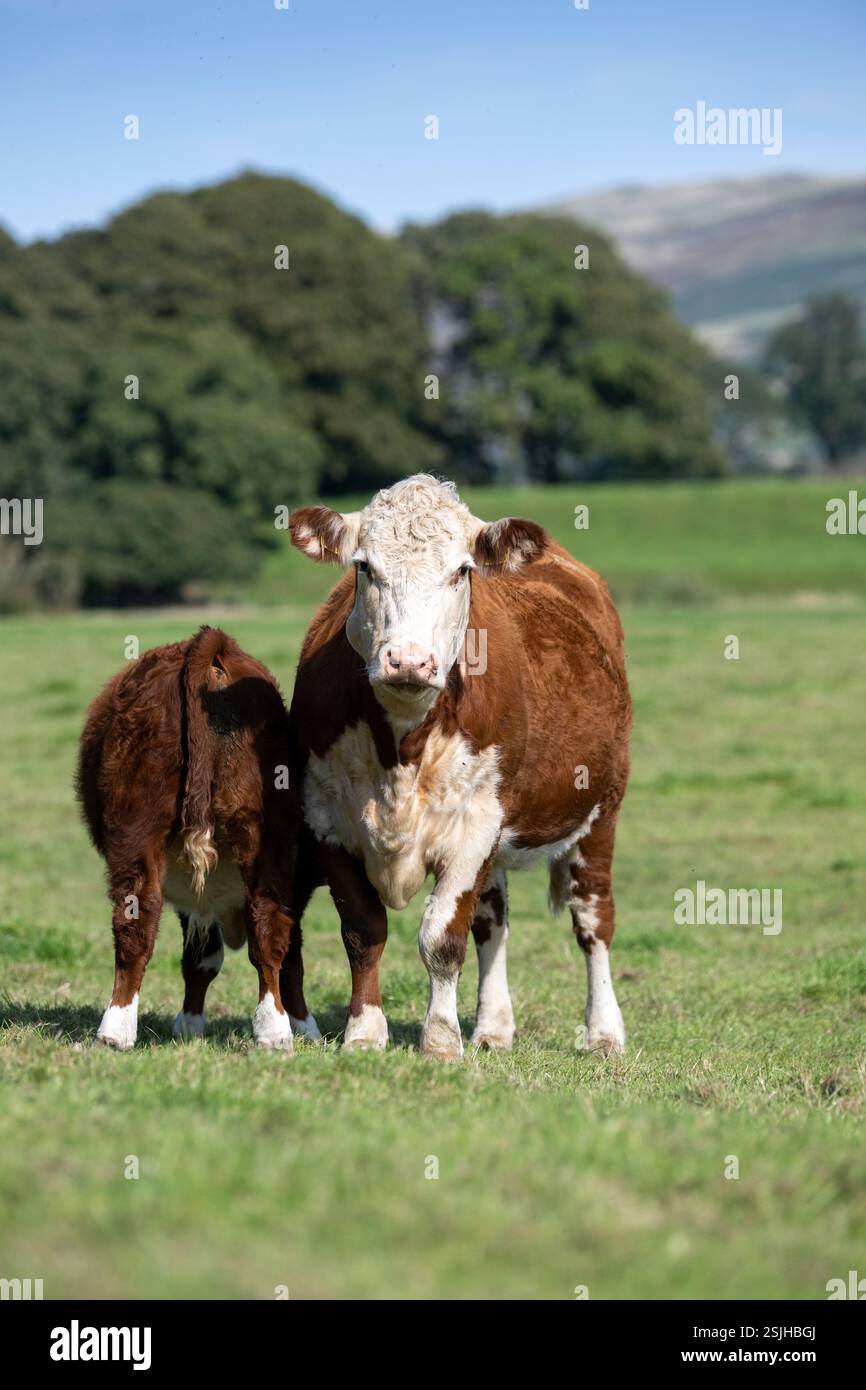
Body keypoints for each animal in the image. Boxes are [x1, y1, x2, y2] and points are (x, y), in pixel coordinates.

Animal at [76, 625, 320, 1051]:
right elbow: (215, 958)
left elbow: (201, 958)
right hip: (261, 840)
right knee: (267, 927)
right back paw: (274, 1031)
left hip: (138, 837)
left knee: (137, 924)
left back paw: (115, 1030)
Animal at [287, 474, 632, 1060]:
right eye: (364, 566)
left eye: (462, 570)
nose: (408, 661)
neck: (402, 747)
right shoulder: (326, 820)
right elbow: (363, 930)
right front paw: (365, 1032)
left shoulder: (476, 825)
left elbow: (442, 938)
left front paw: (441, 1040)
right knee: (493, 924)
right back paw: (493, 1027)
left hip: (600, 813)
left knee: (592, 921)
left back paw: (604, 1032)